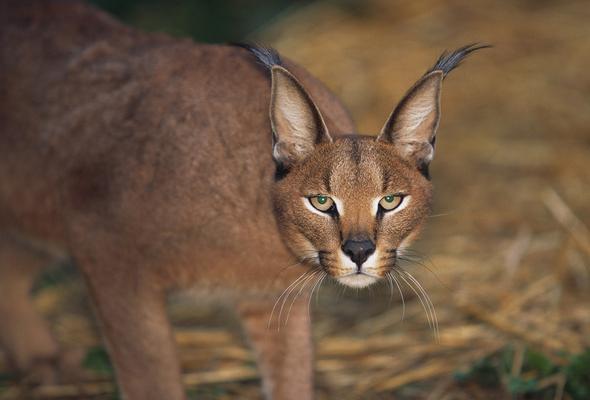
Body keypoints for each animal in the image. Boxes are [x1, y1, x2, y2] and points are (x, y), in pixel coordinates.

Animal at [0, 1, 488, 398]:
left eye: (389, 201)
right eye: (321, 201)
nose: (358, 251)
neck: (263, 224)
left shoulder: (272, 300)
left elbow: (292, 380)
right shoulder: (108, 255)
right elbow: (152, 379)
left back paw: (43, 365)